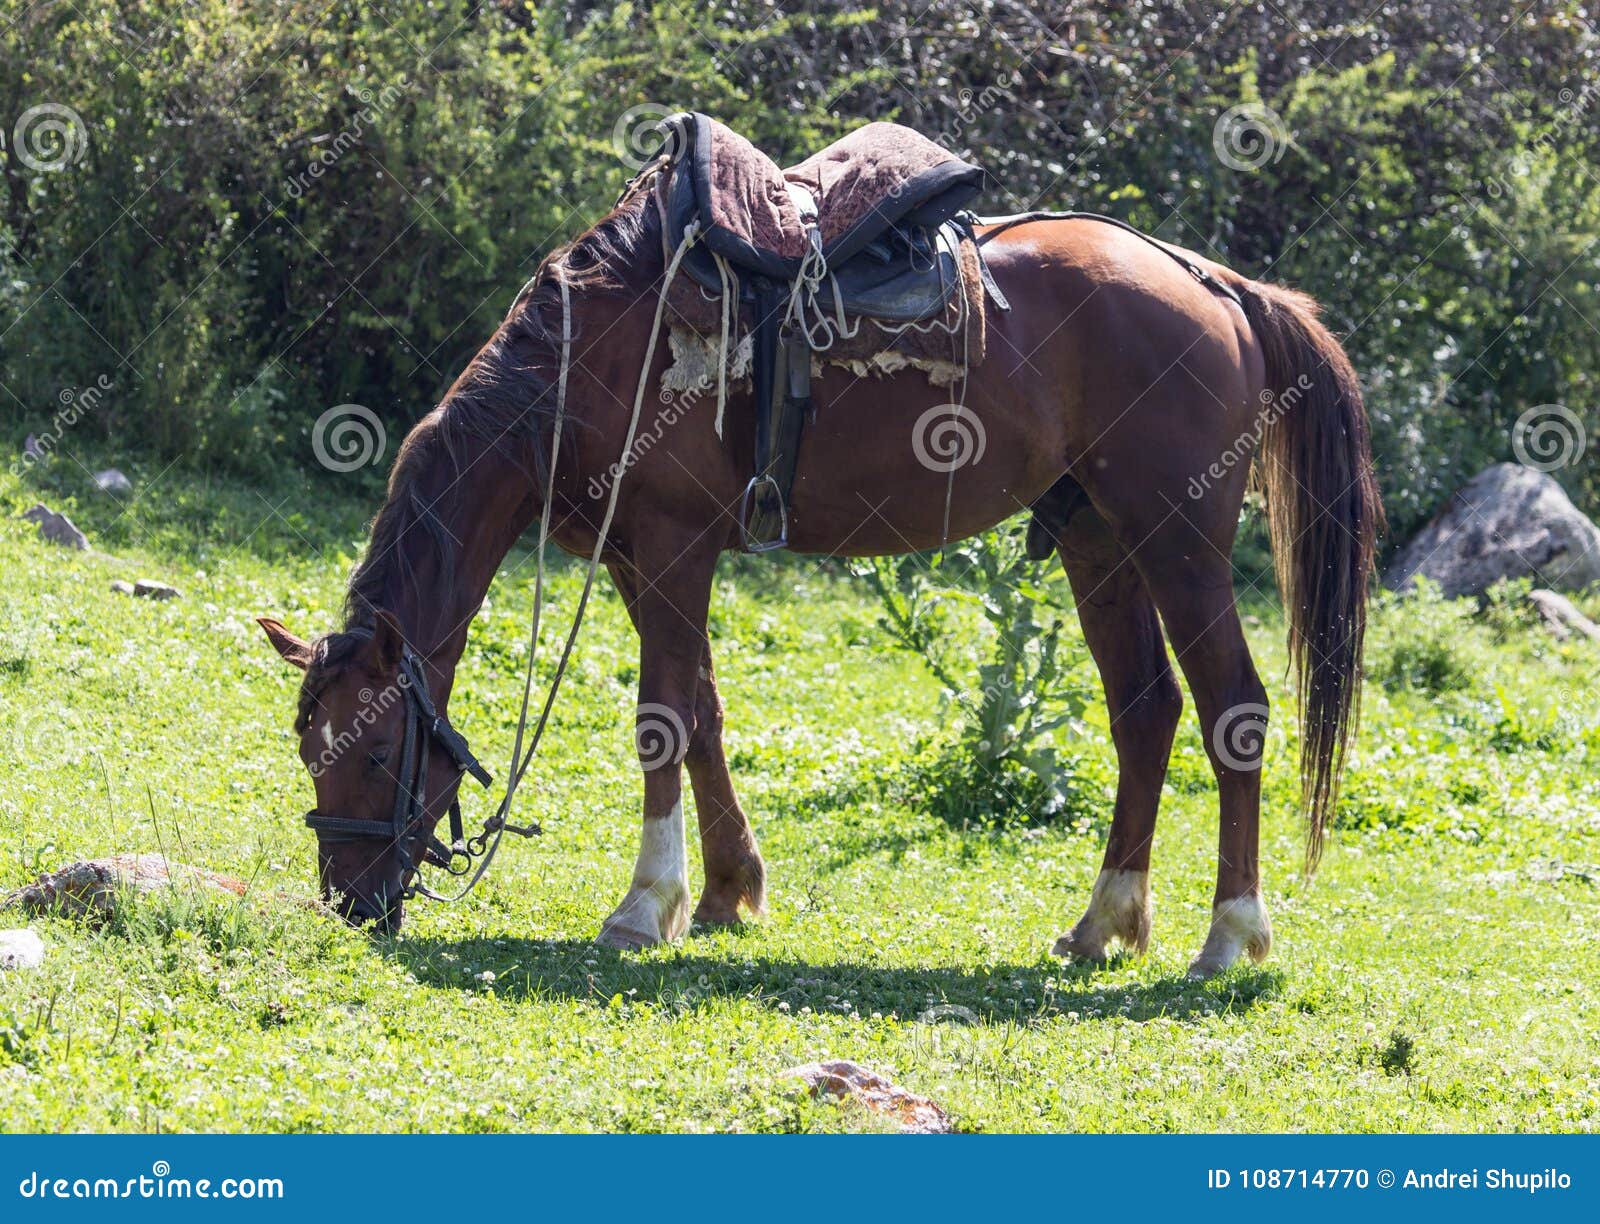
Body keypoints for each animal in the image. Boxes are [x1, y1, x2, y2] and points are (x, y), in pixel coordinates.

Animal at [257, 171, 1380, 977]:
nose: (349, 901)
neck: (594, 357)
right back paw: (1103, 921)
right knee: (1145, 712)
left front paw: (644, 907)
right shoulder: (636, 561)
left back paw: (1230, 934)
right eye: (309, 750)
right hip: (1100, 539)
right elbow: (702, 715)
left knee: (1233, 710)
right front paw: (725, 891)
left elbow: (661, 721)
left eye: (371, 753)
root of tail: (1215, 284)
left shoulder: (671, 547)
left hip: (1177, 542)